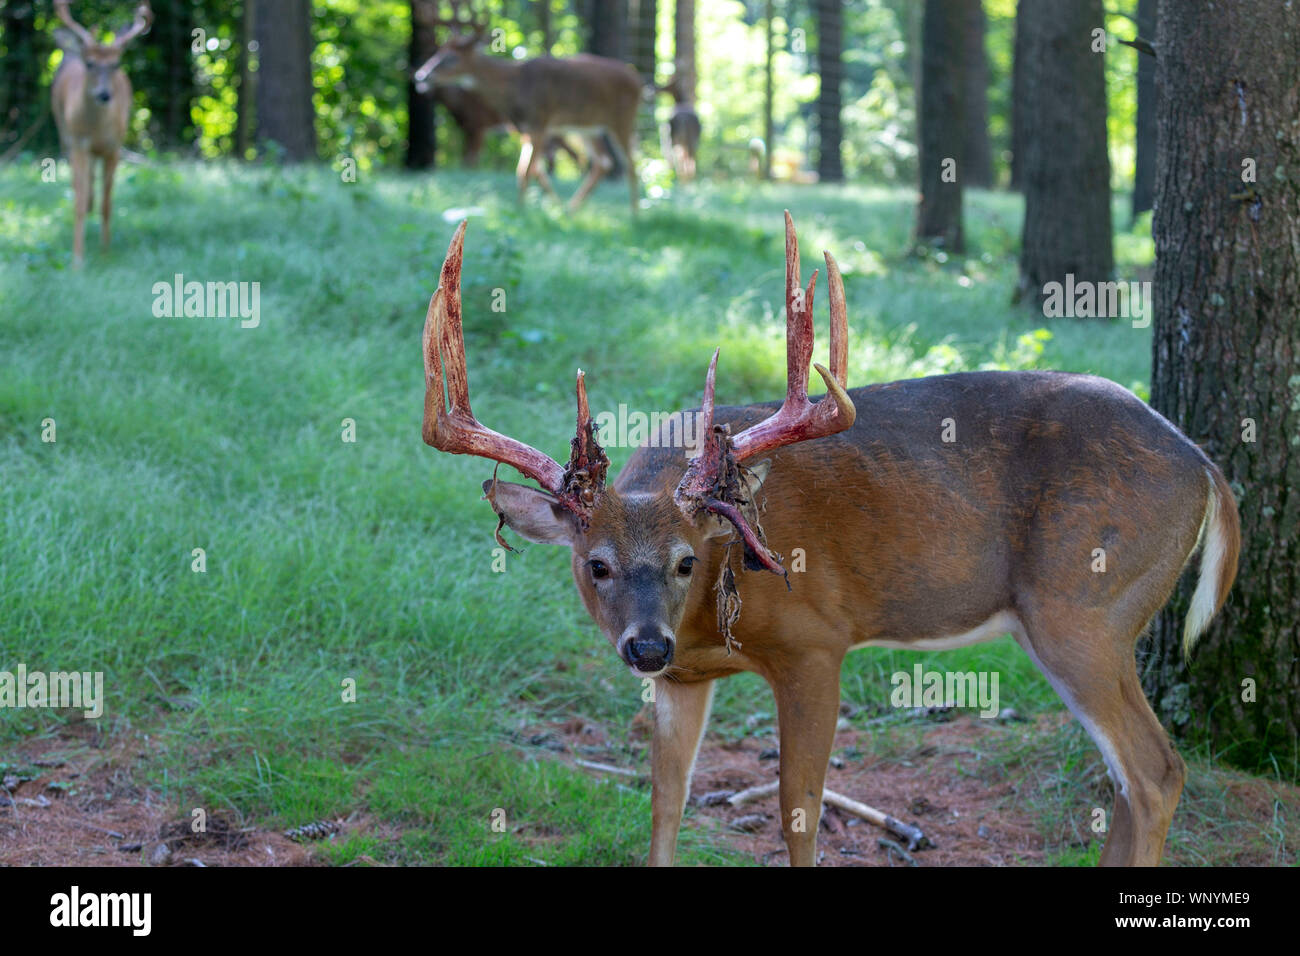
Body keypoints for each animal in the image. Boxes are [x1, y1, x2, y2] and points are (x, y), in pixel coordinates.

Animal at [50, 0, 152, 267]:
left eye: (115, 64)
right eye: (90, 64)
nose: (105, 94)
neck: (96, 128)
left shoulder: (114, 147)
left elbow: (107, 204)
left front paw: (106, 252)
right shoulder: (77, 143)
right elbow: (77, 200)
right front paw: (78, 259)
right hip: (63, 133)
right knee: (79, 183)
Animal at [411, 0, 642, 214]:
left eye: (451, 58)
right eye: (437, 52)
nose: (421, 75)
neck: (515, 85)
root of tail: (637, 79)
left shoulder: (538, 124)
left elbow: (526, 172)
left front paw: (521, 212)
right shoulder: (524, 129)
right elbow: (524, 170)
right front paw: (532, 207)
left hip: (622, 119)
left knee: (630, 165)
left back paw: (634, 215)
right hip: (587, 127)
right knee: (604, 162)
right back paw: (571, 209)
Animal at [419, 213, 1240, 867]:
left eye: (686, 561)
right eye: (596, 565)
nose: (646, 646)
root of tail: (1204, 465)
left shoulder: (817, 642)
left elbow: (798, 815)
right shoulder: (684, 681)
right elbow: (665, 807)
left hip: (1084, 605)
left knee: (1155, 771)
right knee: (1128, 779)